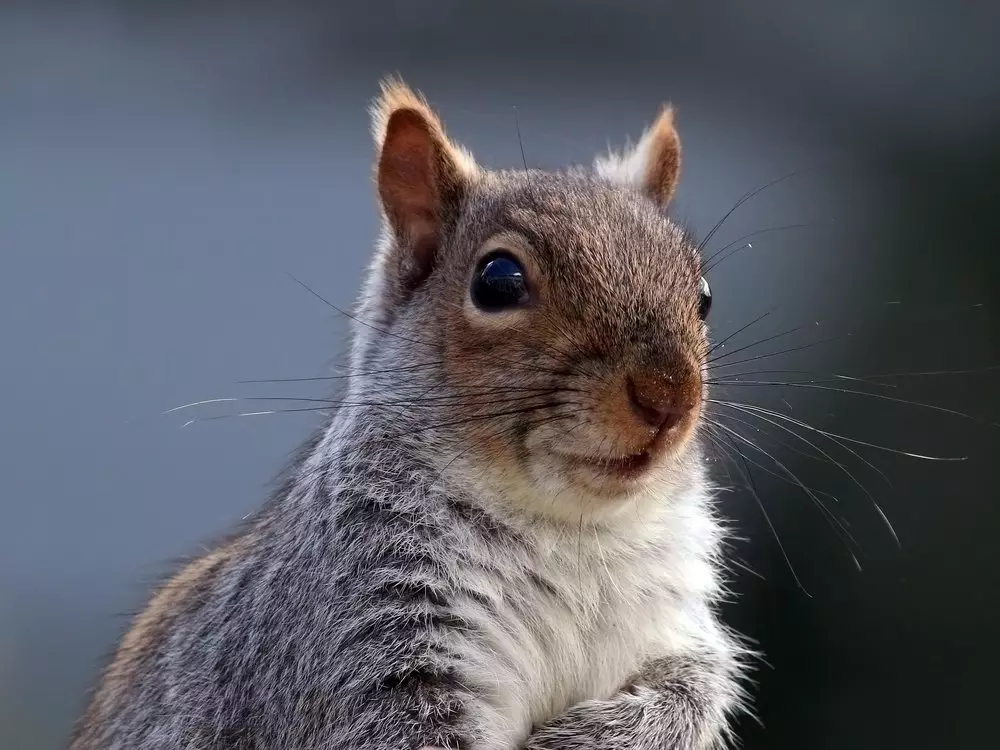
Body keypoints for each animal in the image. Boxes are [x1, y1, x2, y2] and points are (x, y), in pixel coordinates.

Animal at [70, 78, 752, 750]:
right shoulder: (356, 636)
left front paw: (591, 735)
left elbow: (692, 690)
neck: (572, 531)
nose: (669, 396)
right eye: (498, 281)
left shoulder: (675, 628)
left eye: (703, 296)